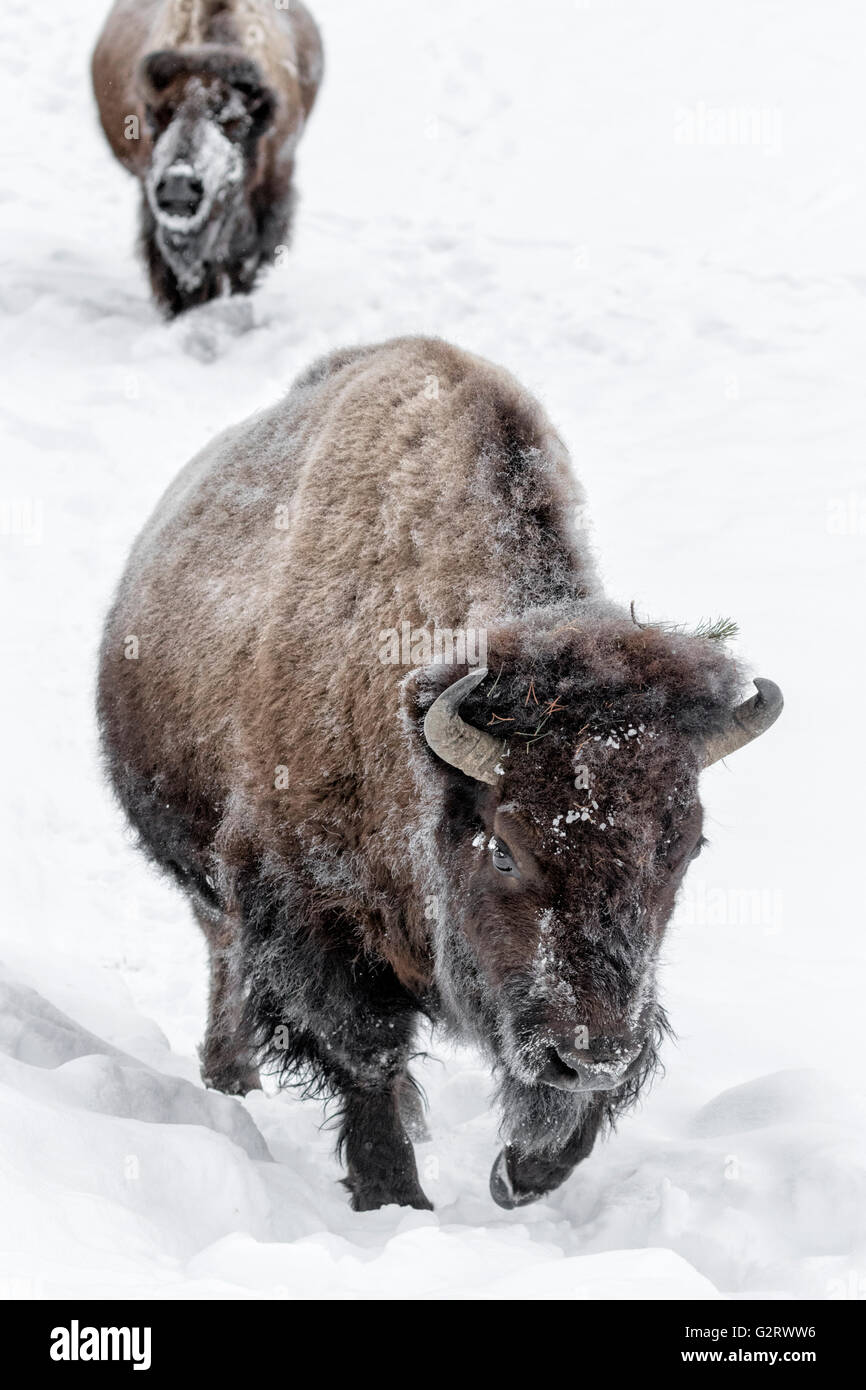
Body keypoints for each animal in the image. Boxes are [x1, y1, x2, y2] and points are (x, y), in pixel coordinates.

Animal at [97, 338, 782, 1210]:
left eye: (685, 849)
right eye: (504, 848)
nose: (594, 1056)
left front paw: (521, 1172)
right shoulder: (306, 911)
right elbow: (365, 1053)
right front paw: (394, 1196)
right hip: (206, 874)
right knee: (225, 955)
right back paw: (231, 1077)